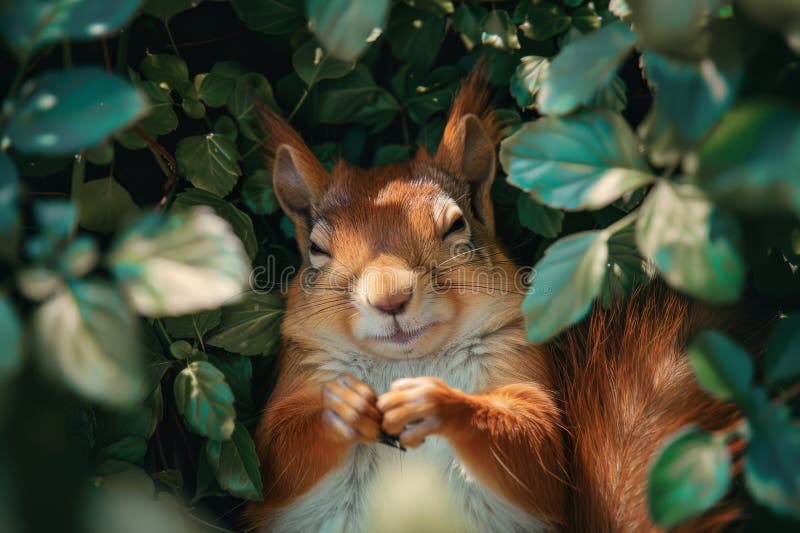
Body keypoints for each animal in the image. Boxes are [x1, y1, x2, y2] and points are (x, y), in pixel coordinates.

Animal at [242, 71, 748, 533]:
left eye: (456, 225)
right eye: (317, 249)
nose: (390, 297)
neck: (406, 361)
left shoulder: (516, 353)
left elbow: (538, 448)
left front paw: (440, 402)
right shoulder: (304, 368)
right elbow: (277, 449)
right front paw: (341, 407)